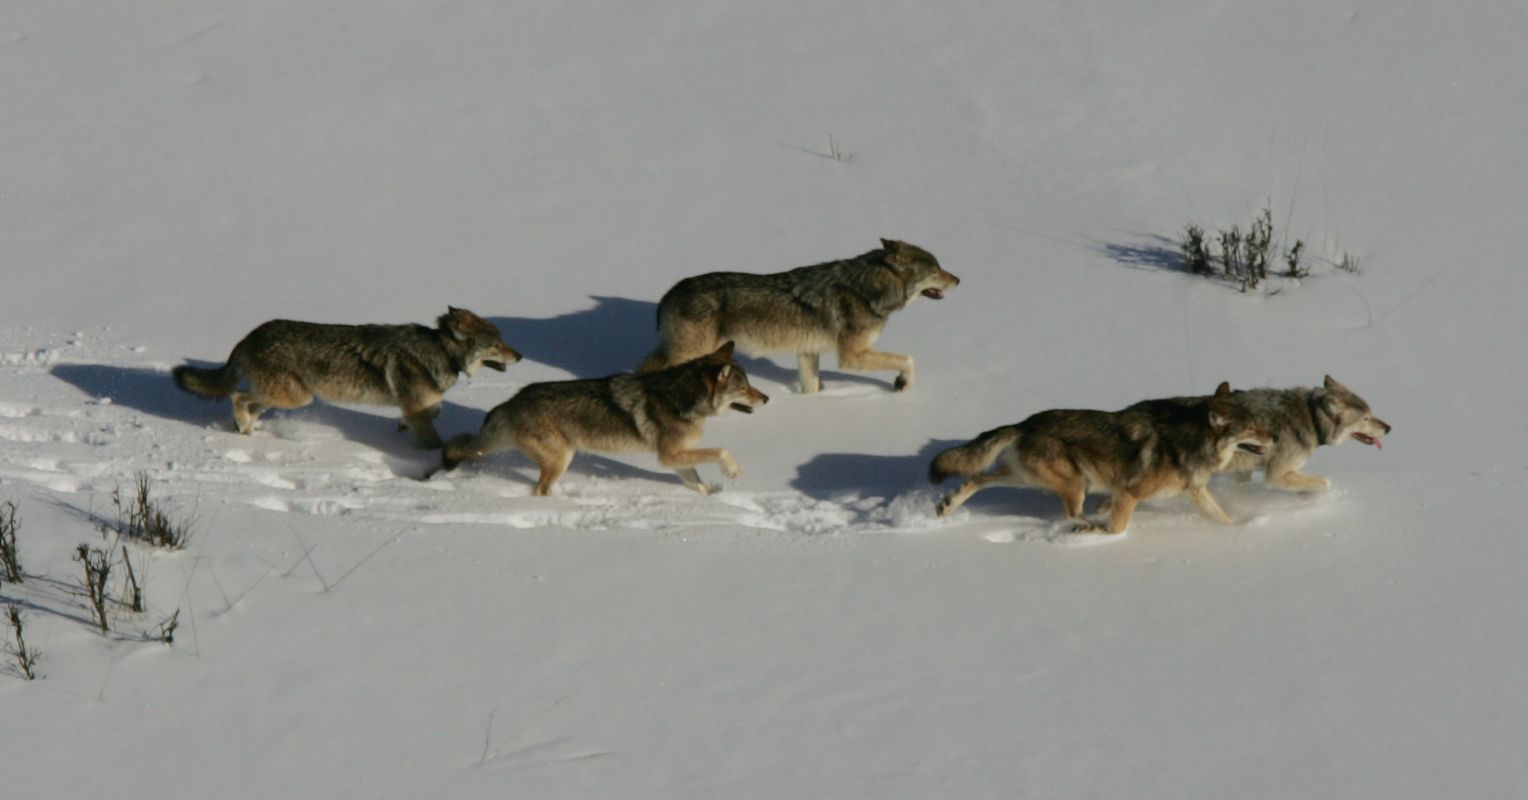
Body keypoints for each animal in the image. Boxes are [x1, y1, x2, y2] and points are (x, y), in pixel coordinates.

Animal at [172, 307, 521, 447]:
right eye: (497, 344)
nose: (519, 356)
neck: (439, 352)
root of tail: (250, 335)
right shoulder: (418, 409)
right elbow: (433, 440)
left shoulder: (419, 407)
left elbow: (430, 412)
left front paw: (401, 426)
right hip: (296, 397)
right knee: (236, 395)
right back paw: (243, 425)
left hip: (286, 398)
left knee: (248, 405)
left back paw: (245, 430)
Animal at [439, 341, 769, 496]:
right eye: (743, 388)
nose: (766, 398)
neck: (681, 399)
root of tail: (512, 401)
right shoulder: (669, 455)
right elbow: (721, 450)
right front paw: (732, 471)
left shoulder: (675, 458)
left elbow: (696, 482)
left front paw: (711, 497)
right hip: (562, 458)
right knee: (540, 491)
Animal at [639, 239, 960, 393]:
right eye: (935, 270)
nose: (959, 279)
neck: (866, 288)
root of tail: (670, 293)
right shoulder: (851, 357)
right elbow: (908, 359)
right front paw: (904, 384)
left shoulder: (808, 353)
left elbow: (812, 388)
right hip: (690, 353)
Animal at [929, 383, 1274, 534]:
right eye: (1251, 427)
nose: (1274, 437)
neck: (1190, 441)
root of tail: (1024, 424)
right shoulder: (1128, 493)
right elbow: (1117, 528)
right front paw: (1103, 530)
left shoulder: (1196, 492)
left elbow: (1223, 518)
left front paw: (1241, 529)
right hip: (1075, 483)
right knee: (1073, 513)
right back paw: (1087, 527)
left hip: (1026, 477)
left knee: (977, 477)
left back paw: (946, 507)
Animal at [1129, 375, 1390, 493]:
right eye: (1366, 418)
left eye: (1371, 413)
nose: (1389, 428)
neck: (1309, 417)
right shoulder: (1275, 475)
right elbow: (1324, 482)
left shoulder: (1244, 471)